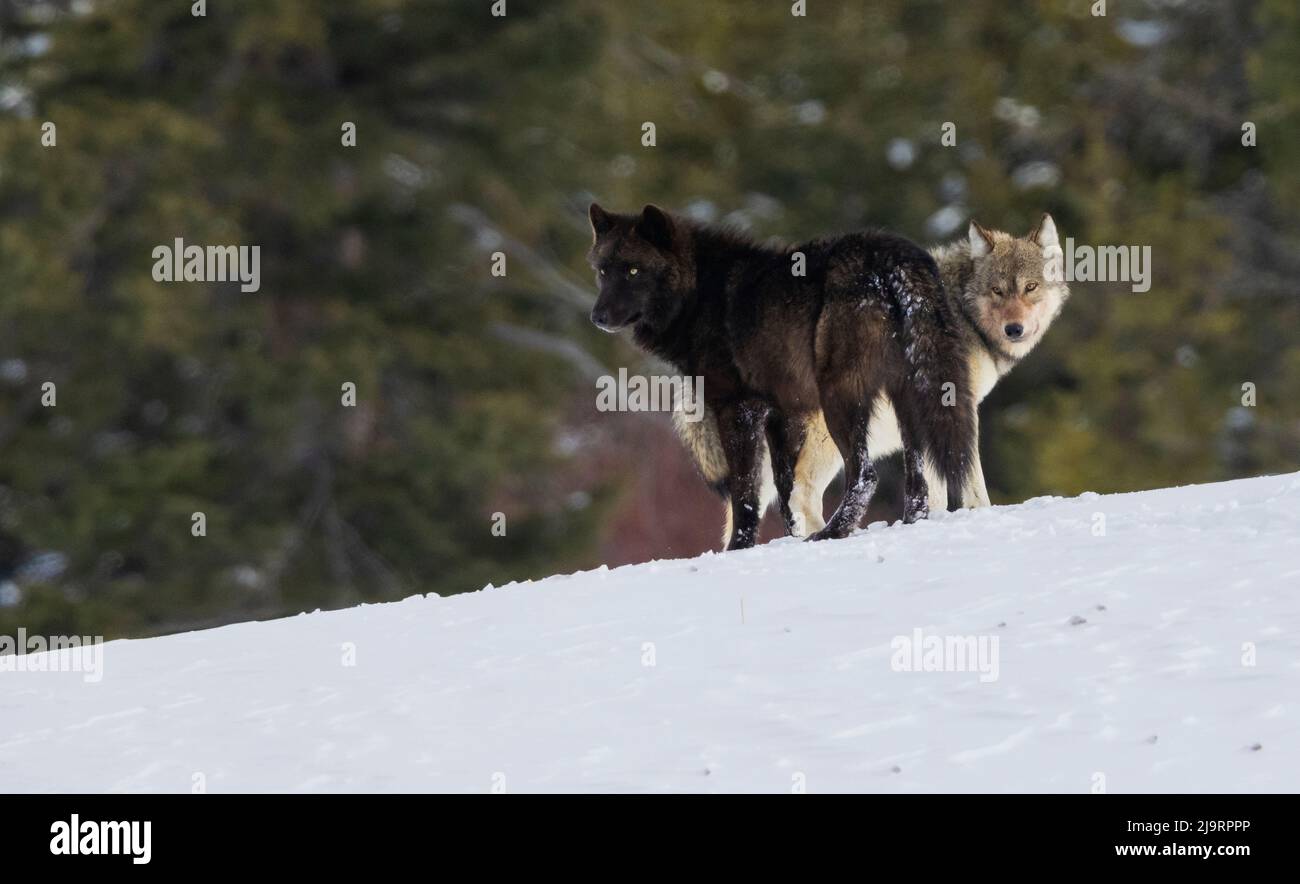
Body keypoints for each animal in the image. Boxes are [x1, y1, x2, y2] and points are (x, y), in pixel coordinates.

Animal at [587, 203, 978, 550]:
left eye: (633, 271)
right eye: (603, 271)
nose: (597, 317)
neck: (700, 293)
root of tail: (894, 258)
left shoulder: (739, 409)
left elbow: (745, 490)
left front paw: (739, 547)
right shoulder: (785, 413)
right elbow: (787, 487)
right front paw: (793, 538)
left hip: (840, 398)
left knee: (866, 474)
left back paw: (834, 533)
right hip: (907, 395)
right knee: (919, 472)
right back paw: (910, 521)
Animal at [677, 215, 1070, 544]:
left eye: (1031, 287)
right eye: (998, 291)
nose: (1014, 329)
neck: (964, 313)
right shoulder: (956, 406)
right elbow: (968, 480)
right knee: (800, 495)